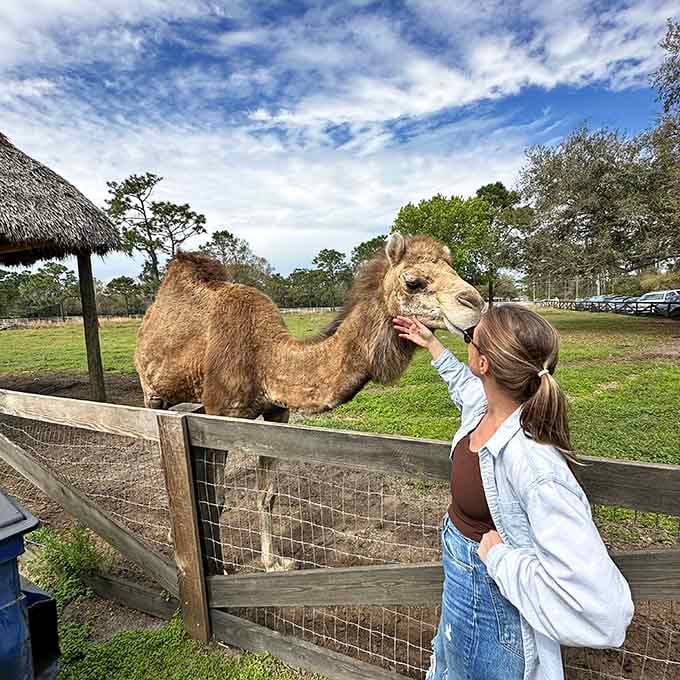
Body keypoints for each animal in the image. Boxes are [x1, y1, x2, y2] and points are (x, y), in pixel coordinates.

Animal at [135, 233, 484, 571]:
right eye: (413, 282)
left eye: (453, 269)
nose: (476, 303)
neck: (265, 357)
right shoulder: (218, 416)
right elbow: (215, 499)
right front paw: (219, 568)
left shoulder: (276, 415)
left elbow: (267, 494)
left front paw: (274, 563)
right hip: (151, 391)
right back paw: (172, 534)